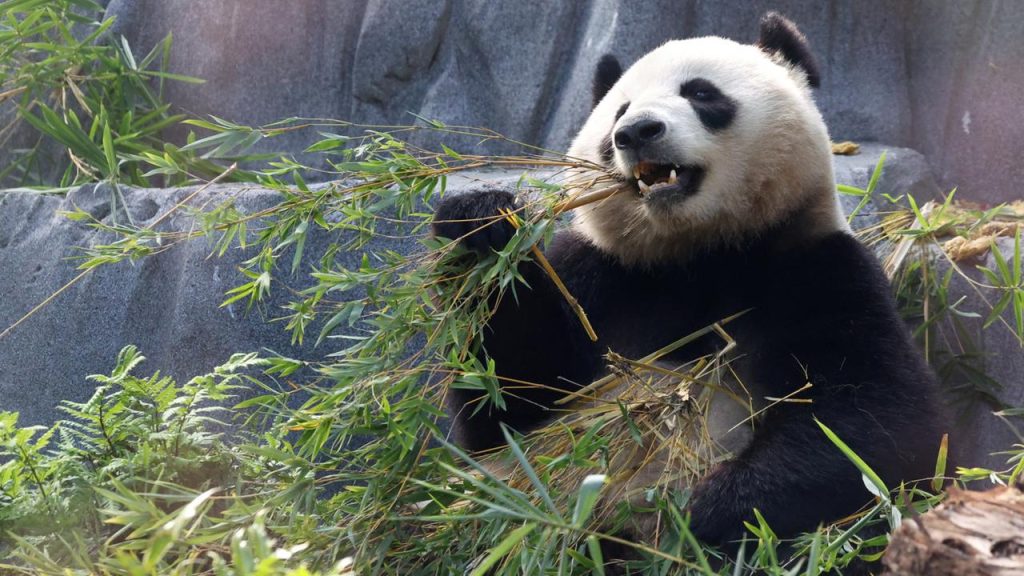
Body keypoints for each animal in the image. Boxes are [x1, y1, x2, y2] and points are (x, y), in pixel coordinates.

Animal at [428, 12, 937, 545]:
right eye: (620, 111)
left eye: (701, 93)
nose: (636, 131)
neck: (697, 252)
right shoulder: (597, 277)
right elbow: (509, 411)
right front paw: (479, 223)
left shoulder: (820, 269)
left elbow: (878, 423)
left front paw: (699, 513)